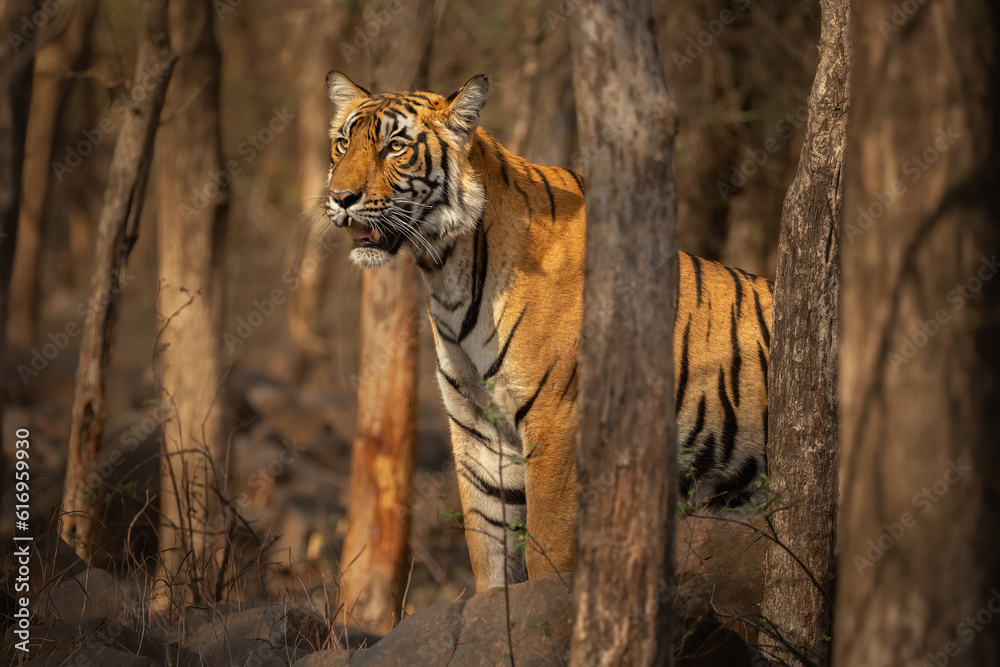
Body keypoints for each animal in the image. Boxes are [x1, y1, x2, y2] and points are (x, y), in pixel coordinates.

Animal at [323, 71, 774, 591]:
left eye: (395, 147)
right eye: (342, 144)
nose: (340, 198)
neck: (447, 274)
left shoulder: (555, 420)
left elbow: (547, 552)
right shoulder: (480, 432)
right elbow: (490, 559)